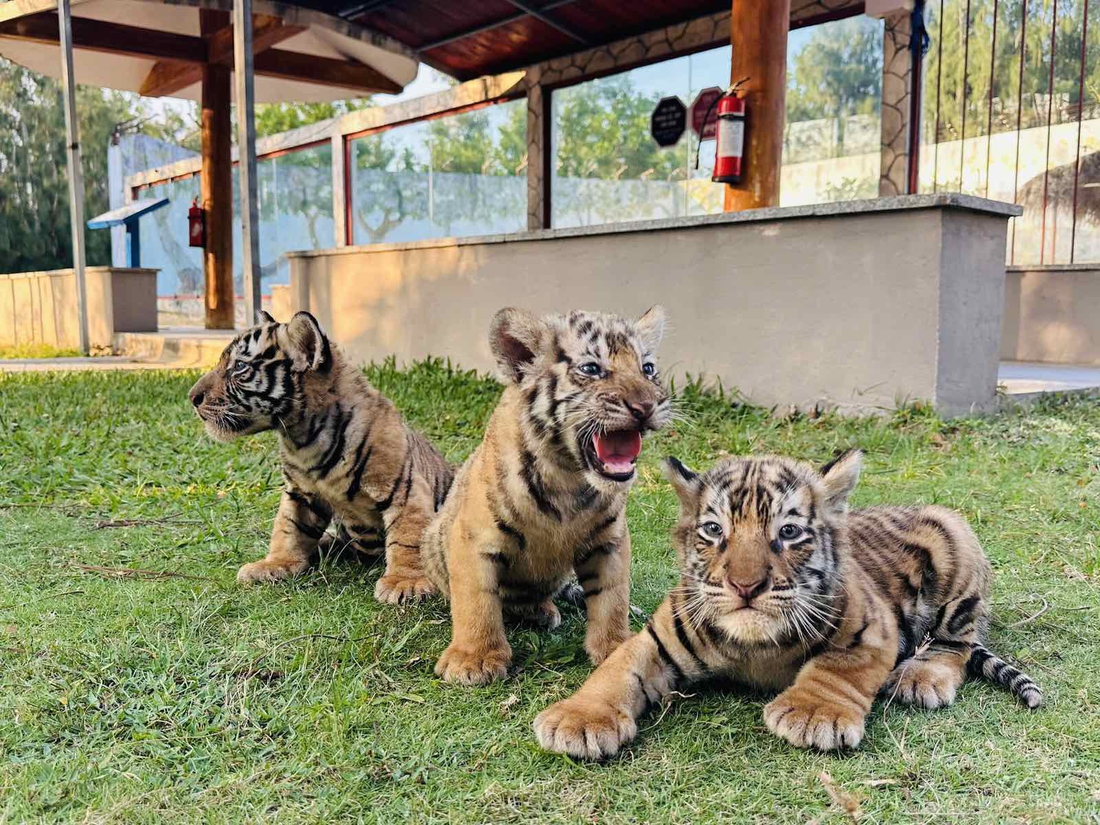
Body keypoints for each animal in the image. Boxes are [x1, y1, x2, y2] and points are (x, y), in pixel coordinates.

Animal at [188, 310, 454, 604]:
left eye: (238, 367)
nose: (192, 397)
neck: (303, 438)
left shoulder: (404, 490)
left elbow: (408, 537)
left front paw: (405, 582)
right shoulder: (299, 492)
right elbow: (288, 529)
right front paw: (275, 564)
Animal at [420, 306, 671, 685]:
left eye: (648, 368)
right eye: (591, 369)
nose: (646, 406)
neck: (569, 476)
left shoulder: (610, 540)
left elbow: (612, 597)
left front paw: (615, 648)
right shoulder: (473, 537)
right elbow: (476, 599)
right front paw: (474, 660)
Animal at [534, 449, 1042, 758]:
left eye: (789, 532)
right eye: (714, 530)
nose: (746, 586)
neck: (752, 647)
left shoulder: (873, 629)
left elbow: (839, 668)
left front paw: (813, 714)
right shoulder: (655, 638)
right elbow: (615, 671)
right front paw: (577, 719)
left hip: (955, 541)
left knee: (956, 642)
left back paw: (921, 677)